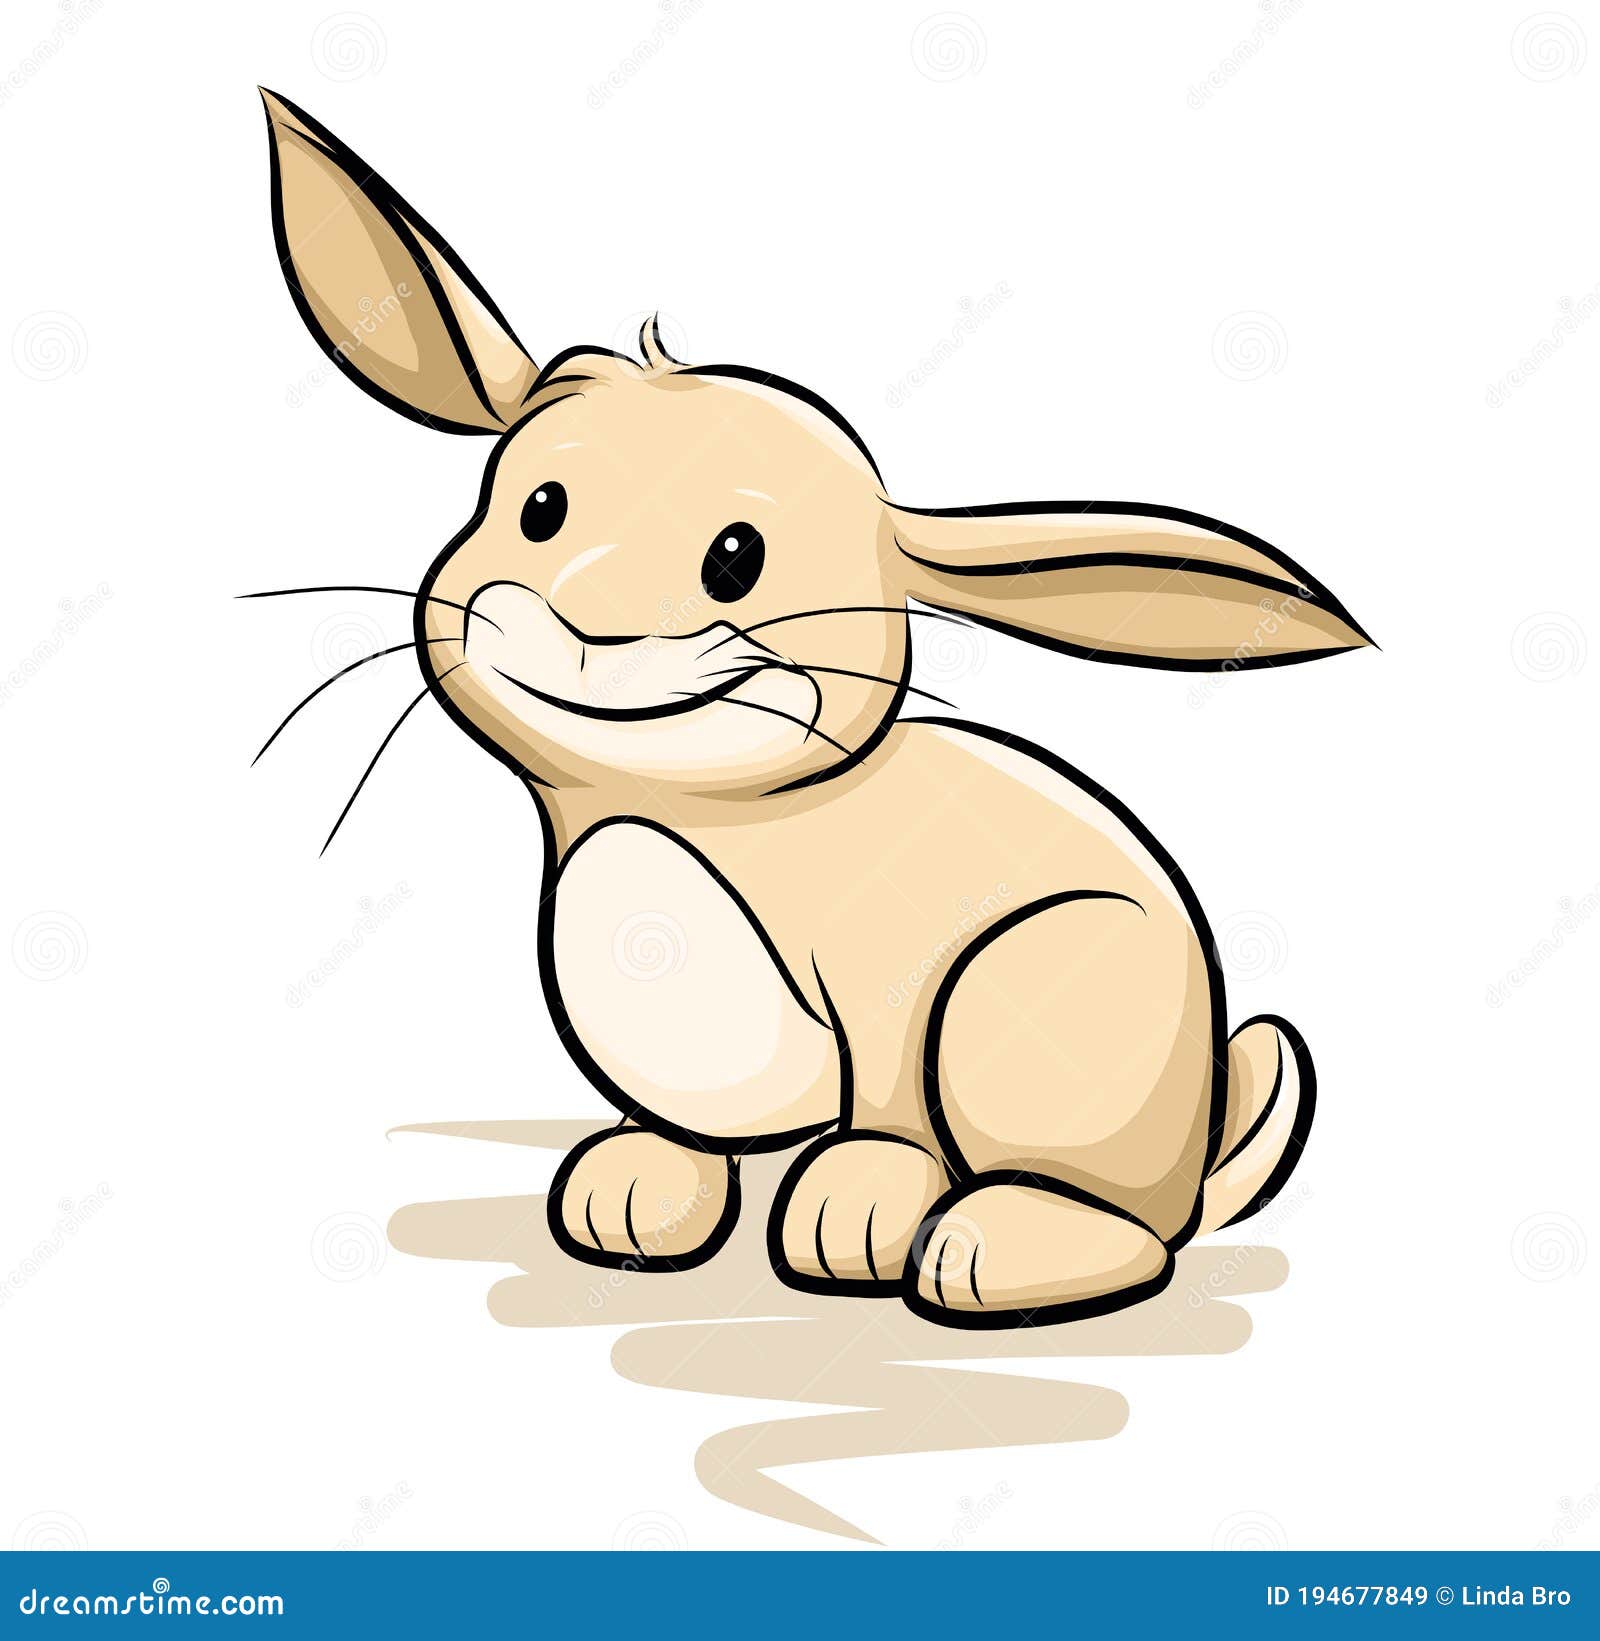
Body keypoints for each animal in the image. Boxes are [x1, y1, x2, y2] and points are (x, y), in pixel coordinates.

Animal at [256, 89, 1371, 1329]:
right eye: (541, 508)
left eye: (735, 558)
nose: (591, 624)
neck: (687, 814)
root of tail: (1200, 1158)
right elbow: (675, 1137)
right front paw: (631, 1192)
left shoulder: (889, 989)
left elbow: (881, 1113)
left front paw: (857, 1212)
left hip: (1029, 992)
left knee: (1120, 1225)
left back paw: (995, 1246)